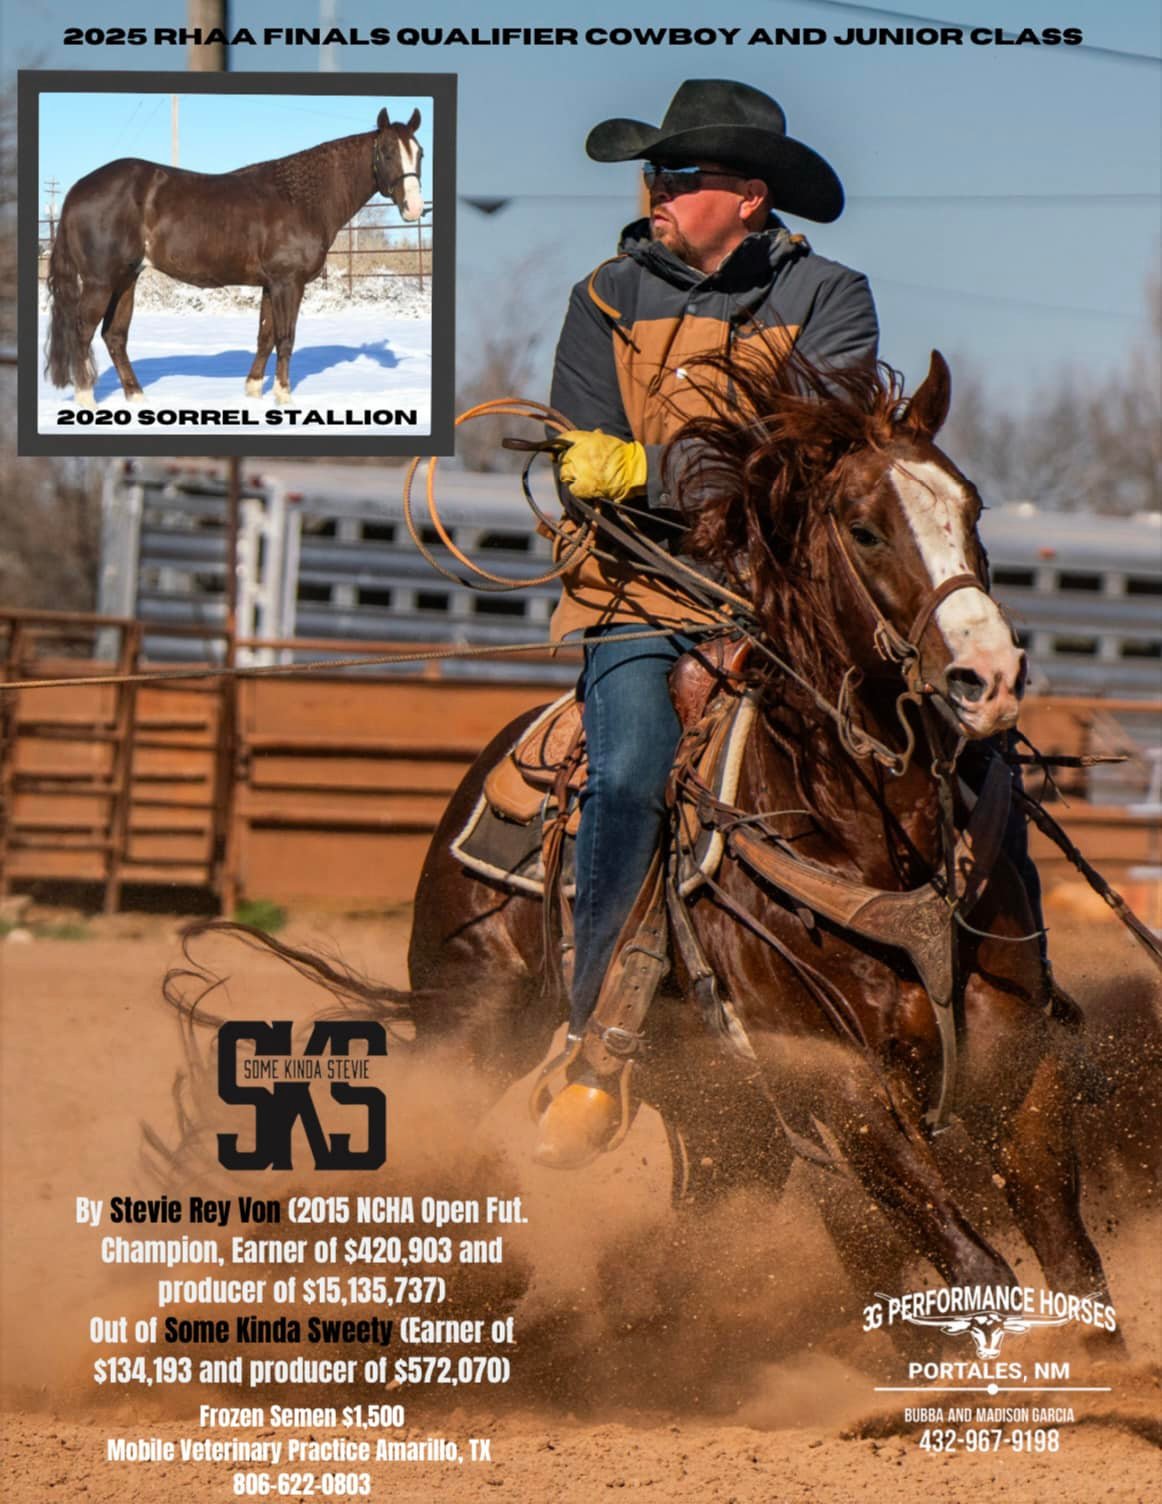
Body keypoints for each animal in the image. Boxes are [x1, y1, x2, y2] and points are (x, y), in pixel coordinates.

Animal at [43, 107, 423, 409]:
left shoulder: (271, 285)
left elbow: (265, 336)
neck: (301, 199)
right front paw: (284, 396)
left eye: (418, 153)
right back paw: (87, 401)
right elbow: (286, 337)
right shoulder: (289, 282)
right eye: (387, 152)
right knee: (82, 332)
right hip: (100, 281)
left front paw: (253, 391)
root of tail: (77, 190)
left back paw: (136, 397)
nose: (415, 208)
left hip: (126, 279)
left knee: (114, 336)